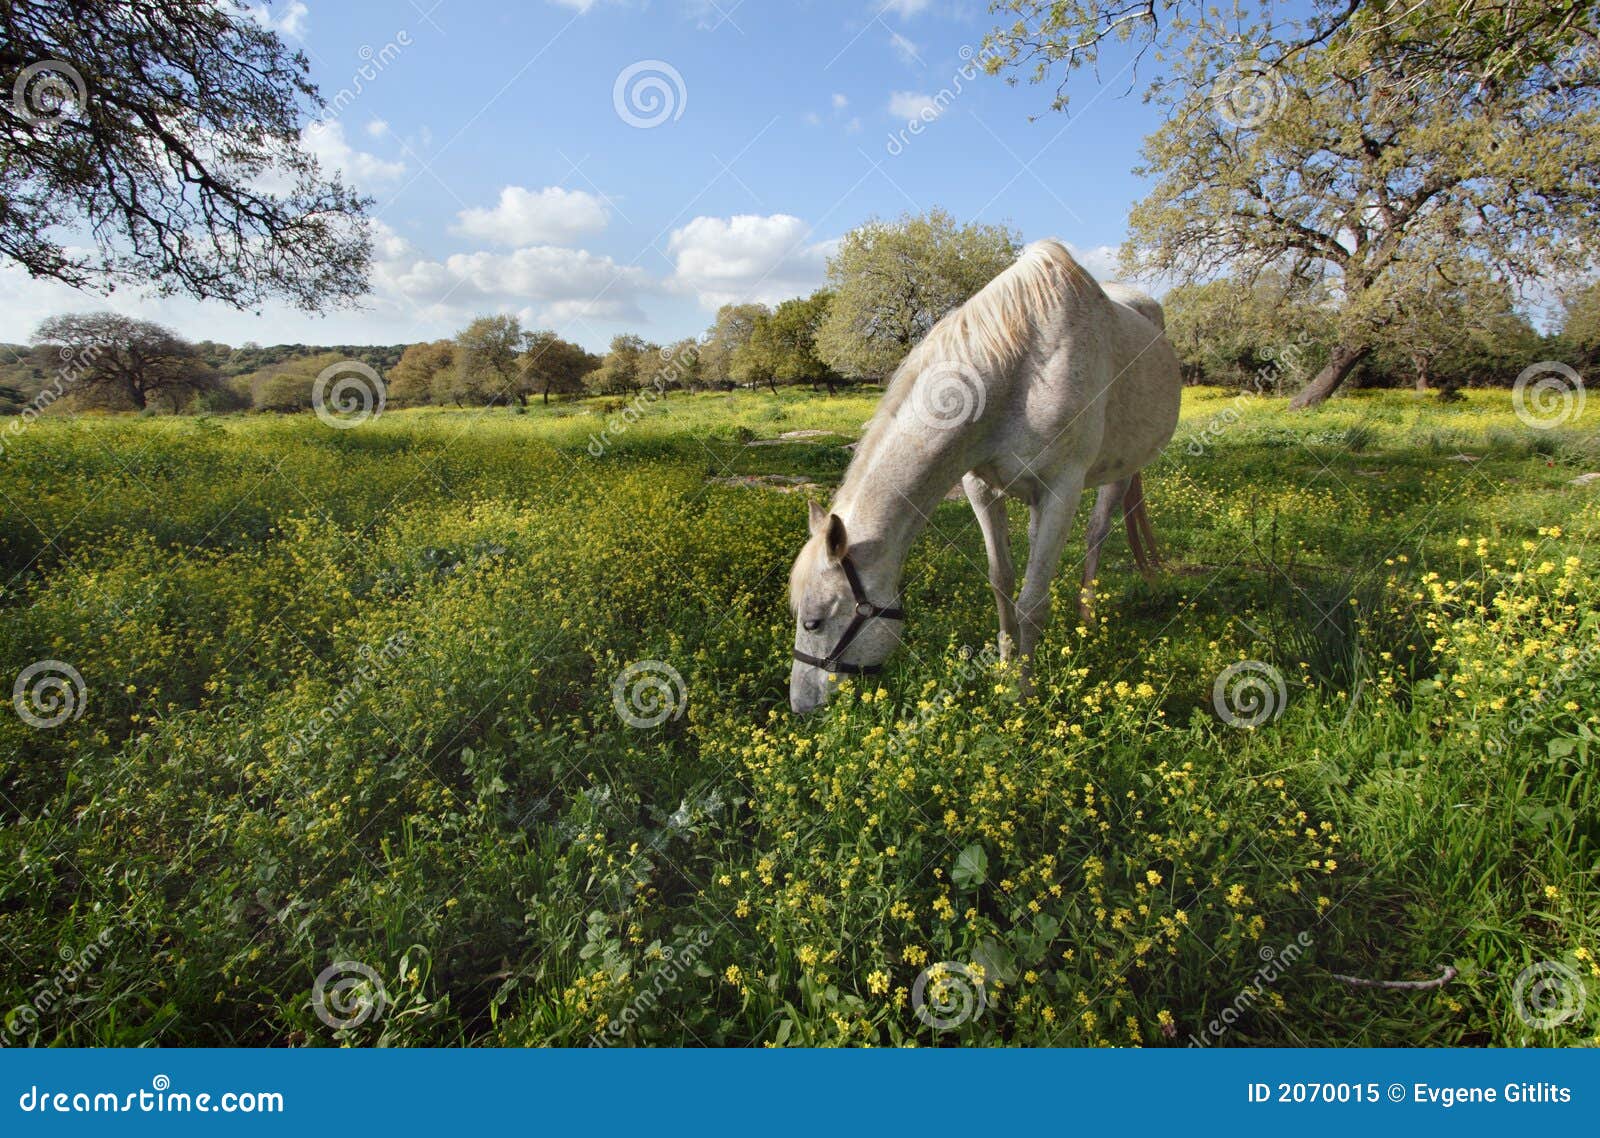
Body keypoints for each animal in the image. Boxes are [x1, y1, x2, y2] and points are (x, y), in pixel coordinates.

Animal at [788, 240, 1181, 713]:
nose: (800, 705)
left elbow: (1032, 600)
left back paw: (1086, 621)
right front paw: (1007, 667)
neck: (1019, 370)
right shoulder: (980, 487)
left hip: (1119, 473)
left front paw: (1025, 692)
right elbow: (1003, 581)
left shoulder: (1061, 489)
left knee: (1097, 533)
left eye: (813, 622)